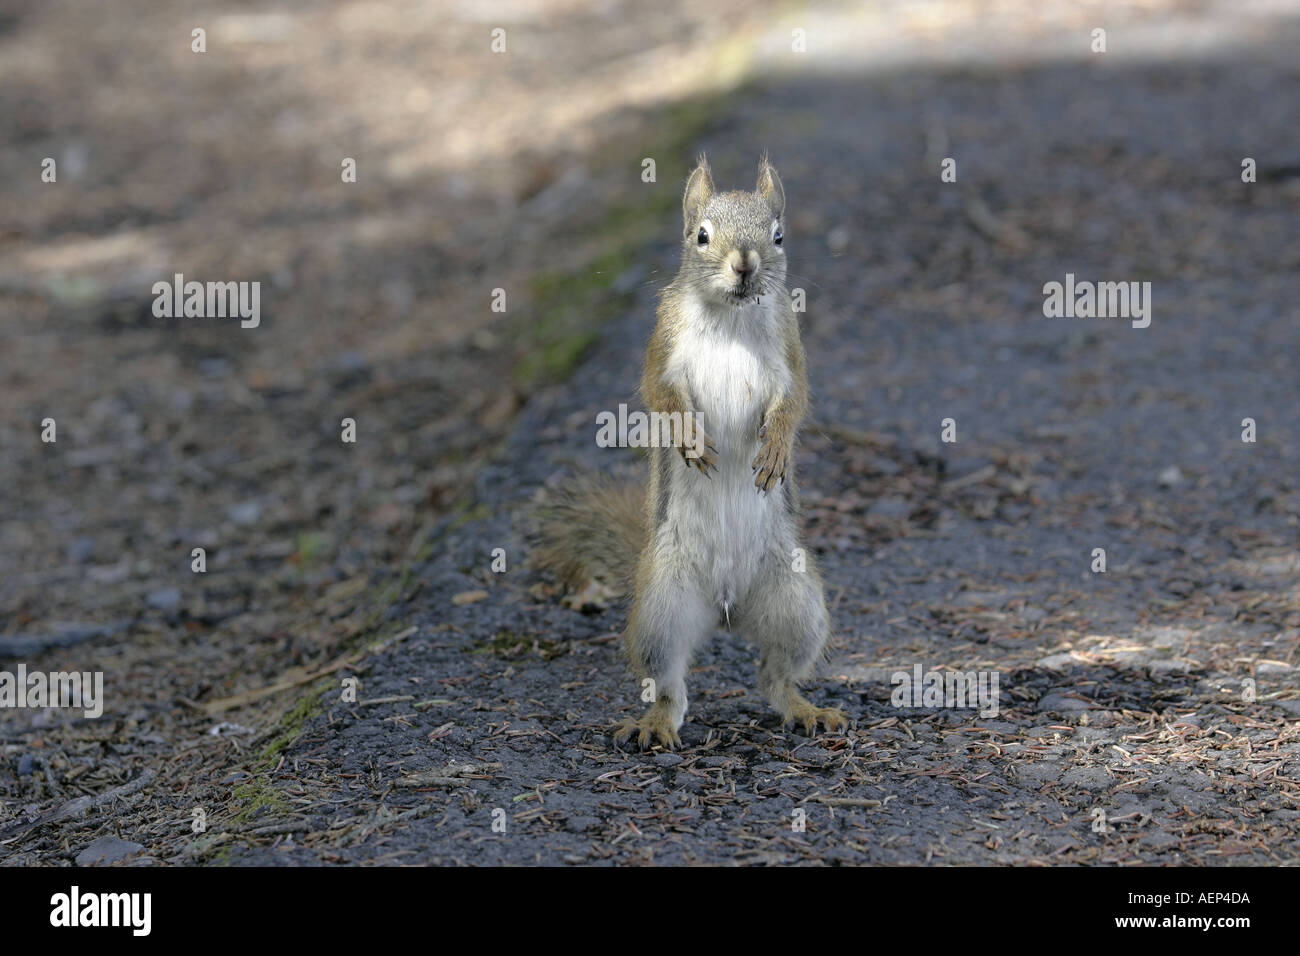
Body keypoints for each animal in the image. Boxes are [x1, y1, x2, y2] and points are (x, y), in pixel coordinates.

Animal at [535, 155, 848, 749]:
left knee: (775, 676)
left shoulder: (789, 353)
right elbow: (660, 396)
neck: (730, 314)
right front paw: (691, 438)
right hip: (662, 607)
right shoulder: (664, 347)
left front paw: (775, 449)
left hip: (797, 601)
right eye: (701, 236)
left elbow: (793, 404)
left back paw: (806, 709)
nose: (744, 265)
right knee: (669, 684)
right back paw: (655, 724)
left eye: (778, 235)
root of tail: (725, 611)